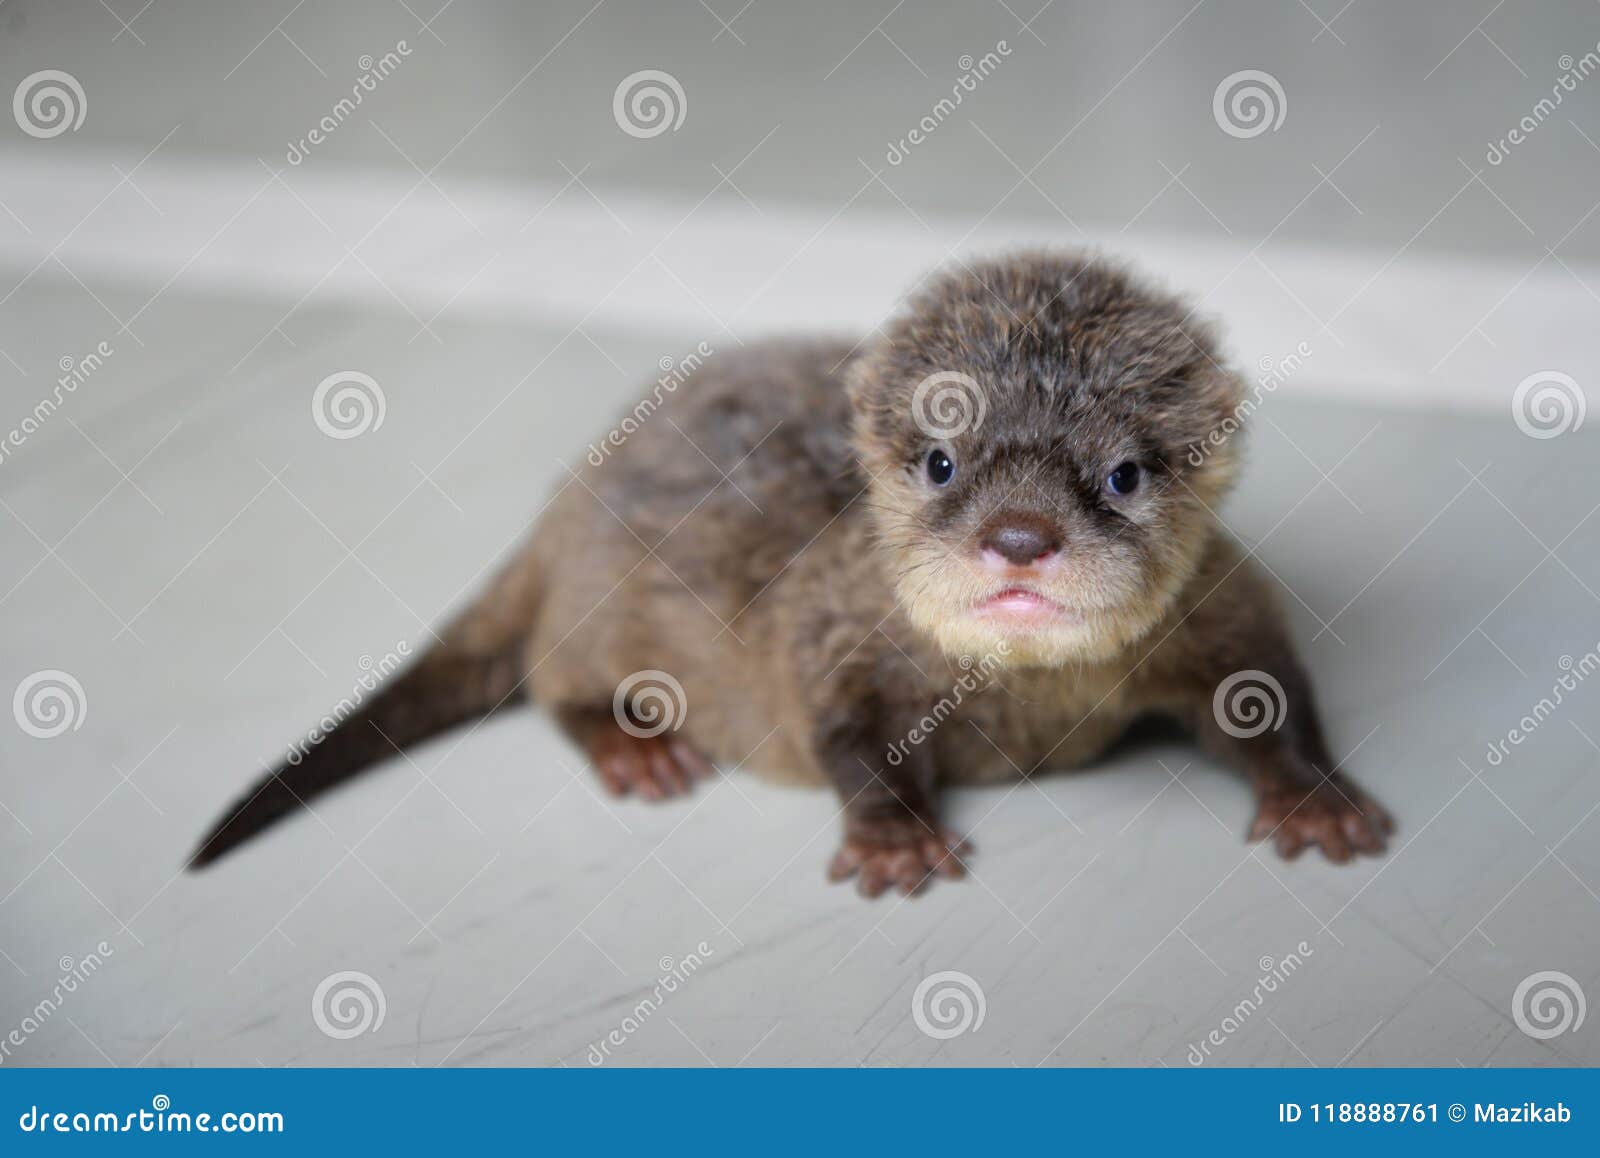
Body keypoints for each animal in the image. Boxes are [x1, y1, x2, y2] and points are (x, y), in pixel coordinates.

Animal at [190, 252, 1393, 897]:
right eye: (941, 460)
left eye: (1123, 473)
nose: (1018, 536)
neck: (1032, 696)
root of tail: (567, 497)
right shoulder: (835, 627)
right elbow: (844, 731)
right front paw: (895, 839)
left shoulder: (1221, 605)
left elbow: (1267, 689)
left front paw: (1316, 800)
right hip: (600, 613)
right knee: (547, 679)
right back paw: (636, 750)